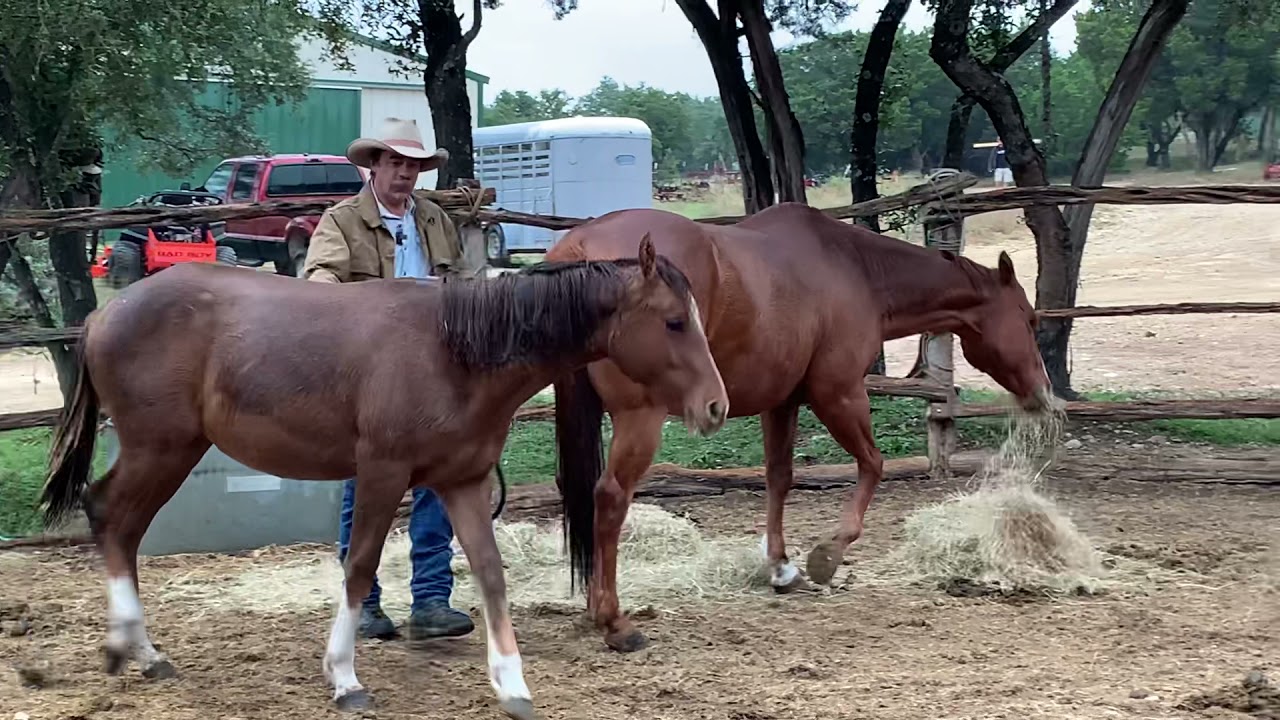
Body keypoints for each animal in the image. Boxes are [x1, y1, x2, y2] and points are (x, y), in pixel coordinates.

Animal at [39, 235, 728, 719]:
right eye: (674, 321)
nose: (716, 406)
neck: (454, 352)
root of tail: (105, 316)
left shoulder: (463, 482)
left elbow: (490, 573)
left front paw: (512, 685)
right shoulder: (381, 472)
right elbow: (359, 565)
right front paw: (344, 678)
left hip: (169, 451)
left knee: (118, 524)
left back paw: (142, 653)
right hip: (161, 449)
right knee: (110, 516)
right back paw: (131, 647)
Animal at [547, 202, 1054, 653]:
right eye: (1028, 319)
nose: (1042, 392)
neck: (855, 269)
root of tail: (580, 243)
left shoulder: (782, 403)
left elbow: (779, 478)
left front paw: (780, 567)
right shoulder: (839, 394)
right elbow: (873, 465)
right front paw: (828, 554)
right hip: (642, 417)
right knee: (610, 498)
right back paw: (614, 622)